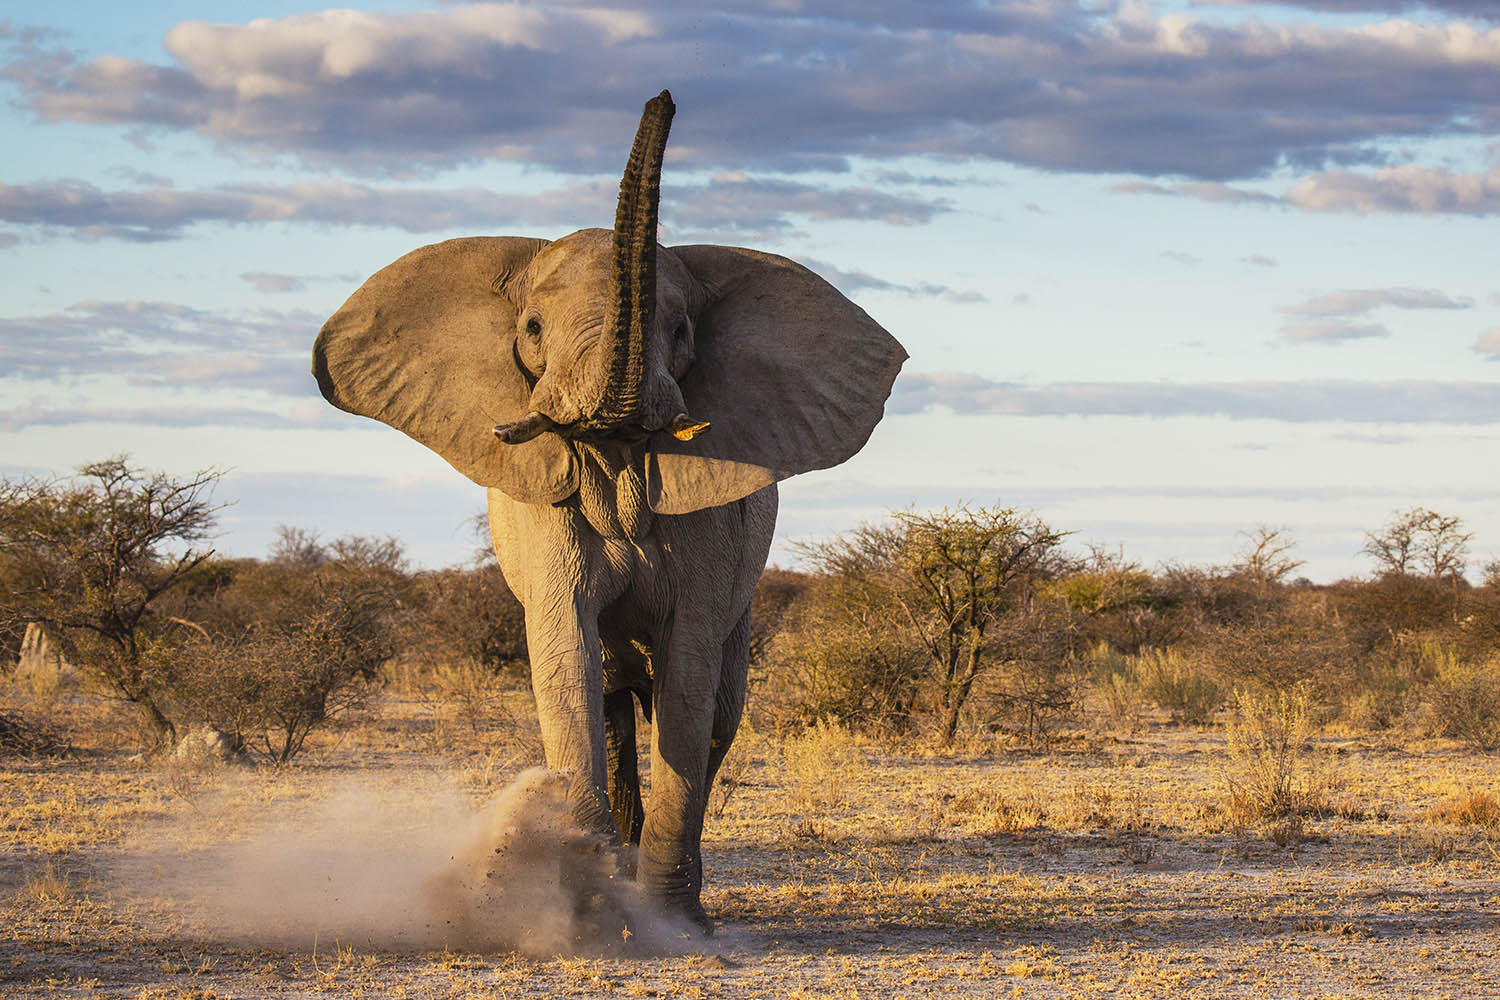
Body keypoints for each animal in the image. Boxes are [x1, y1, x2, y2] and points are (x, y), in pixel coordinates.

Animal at [311, 90, 906, 929]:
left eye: (683, 330)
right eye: (532, 329)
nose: (663, 99)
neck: (613, 447)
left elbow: (688, 683)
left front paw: (669, 923)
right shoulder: (544, 509)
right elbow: (566, 658)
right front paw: (587, 906)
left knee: (717, 712)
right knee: (615, 700)